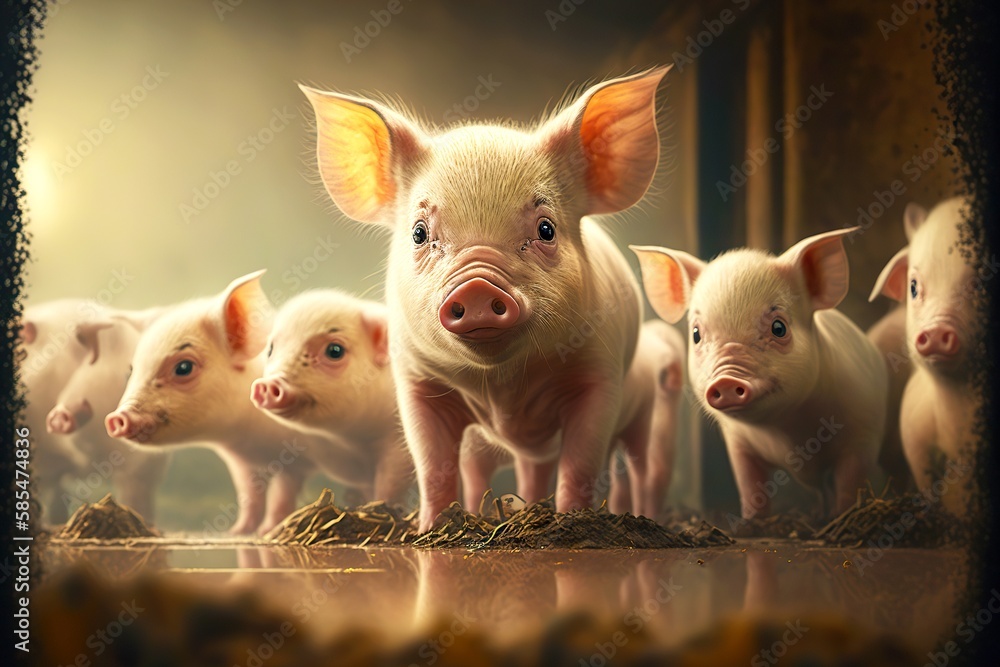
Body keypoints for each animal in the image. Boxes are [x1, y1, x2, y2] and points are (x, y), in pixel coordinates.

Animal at [104, 271, 365, 534]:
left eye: (184, 367)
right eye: (132, 370)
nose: (117, 418)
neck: (249, 441)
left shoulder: (294, 458)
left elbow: (281, 495)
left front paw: (265, 532)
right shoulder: (241, 462)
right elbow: (249, 495)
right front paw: (237, 531)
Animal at [250, 290, 414, 503]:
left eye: (335, 351)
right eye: (270, 349)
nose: (268, 384)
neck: (346, 441)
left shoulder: (398, 444)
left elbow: (390, 486)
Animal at [301, 67, 669, 530]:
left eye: (546, 229)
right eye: (419, 233)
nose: (477, 286)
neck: (501, 387)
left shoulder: (599, 375)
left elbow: (581, 464)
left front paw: (572, 521)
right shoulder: (418, 381)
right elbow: (432, 464)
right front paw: (431, 528)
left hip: (642, 410)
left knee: (633, 465)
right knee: (504, 467)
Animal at [632, 227, 888, 519]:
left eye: (779, 328)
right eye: (696, 334)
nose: (727, 379)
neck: (786, 432)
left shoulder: (862, 435)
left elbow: (849, 485)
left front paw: (841, 515)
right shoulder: (738, 444)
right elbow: (750, 486)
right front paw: (754, 521)